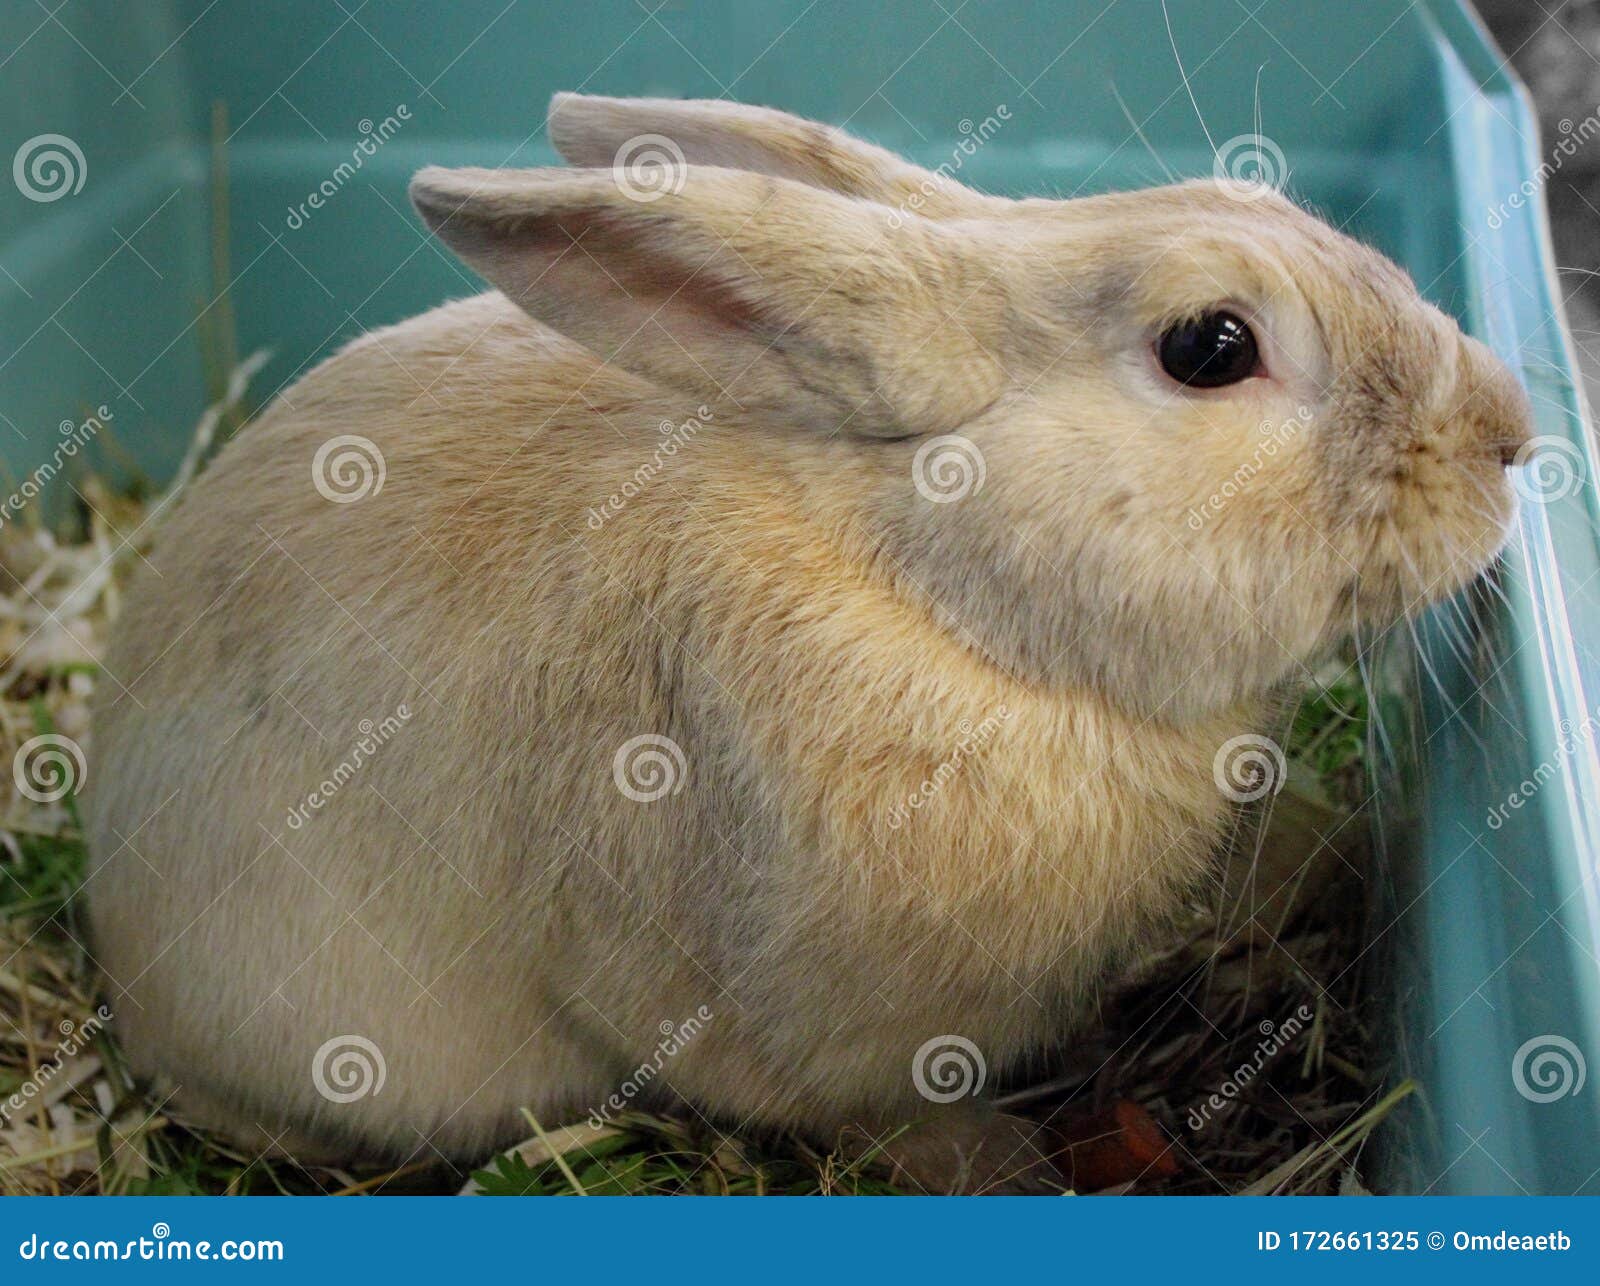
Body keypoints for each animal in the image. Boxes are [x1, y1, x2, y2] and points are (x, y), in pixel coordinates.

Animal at [84, 92, 1531, 1194]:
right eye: (1211, 344)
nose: (1509, 434)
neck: (939, 600)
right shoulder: (791, 1017)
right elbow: (875, 1109)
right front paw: (1004, 1166)